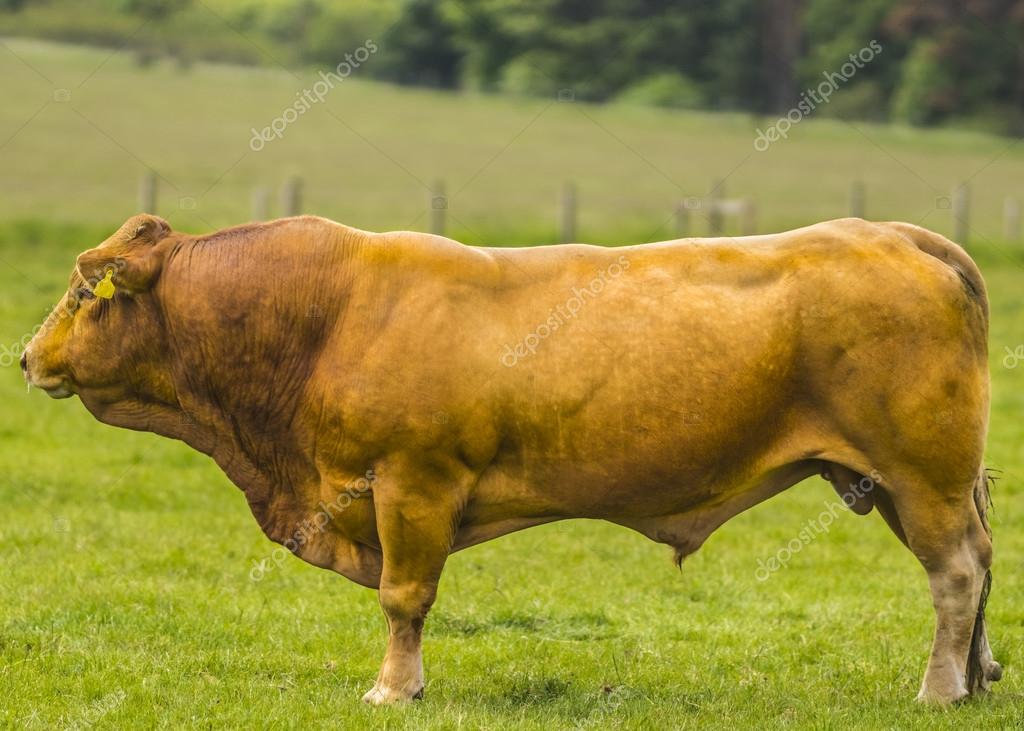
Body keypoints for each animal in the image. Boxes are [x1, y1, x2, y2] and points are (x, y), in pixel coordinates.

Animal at [22, 214, 1000, 705]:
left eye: (82, 292)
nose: (27, 356)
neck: (327, 313)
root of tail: (899, 232)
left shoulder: (413, 483)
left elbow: (404, 597)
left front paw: (395, 689)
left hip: (923, 473)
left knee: (954, 573)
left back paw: (939, 689)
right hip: (911, 481)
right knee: (981, 564)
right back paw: (980, 675)